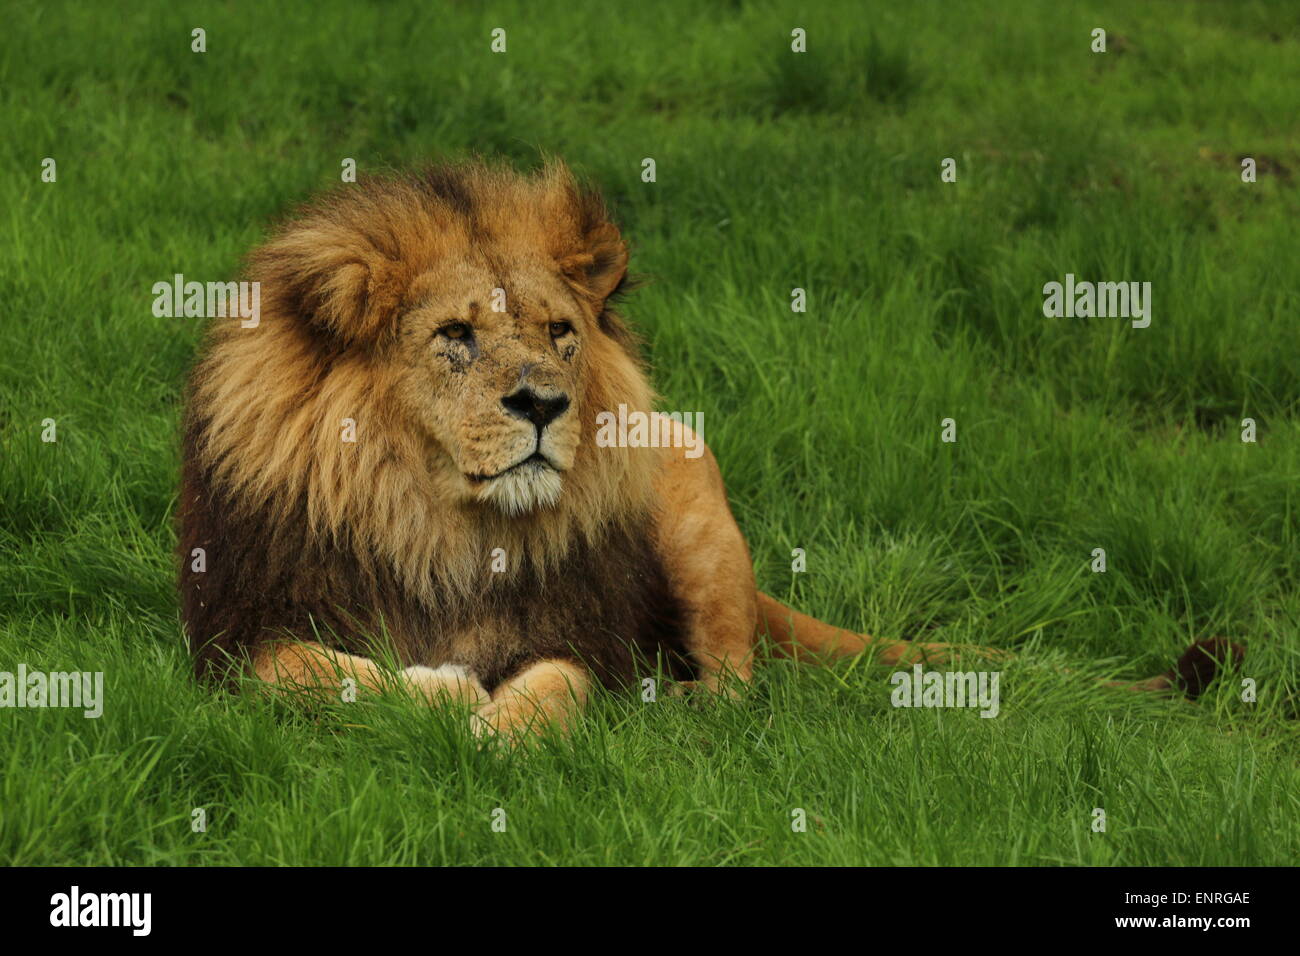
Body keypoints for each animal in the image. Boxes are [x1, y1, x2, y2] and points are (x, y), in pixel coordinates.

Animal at [178, 160, 1239, 739]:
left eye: (560, 333)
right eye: (455, 336)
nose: (545, 403)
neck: (450, 526)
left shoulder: (589, 634)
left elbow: (561, 686)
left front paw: (504, 731)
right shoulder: (229, 636)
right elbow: (309, 672)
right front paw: (438, 693)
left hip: (693, 503)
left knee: (741, 683)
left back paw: (678, 708)